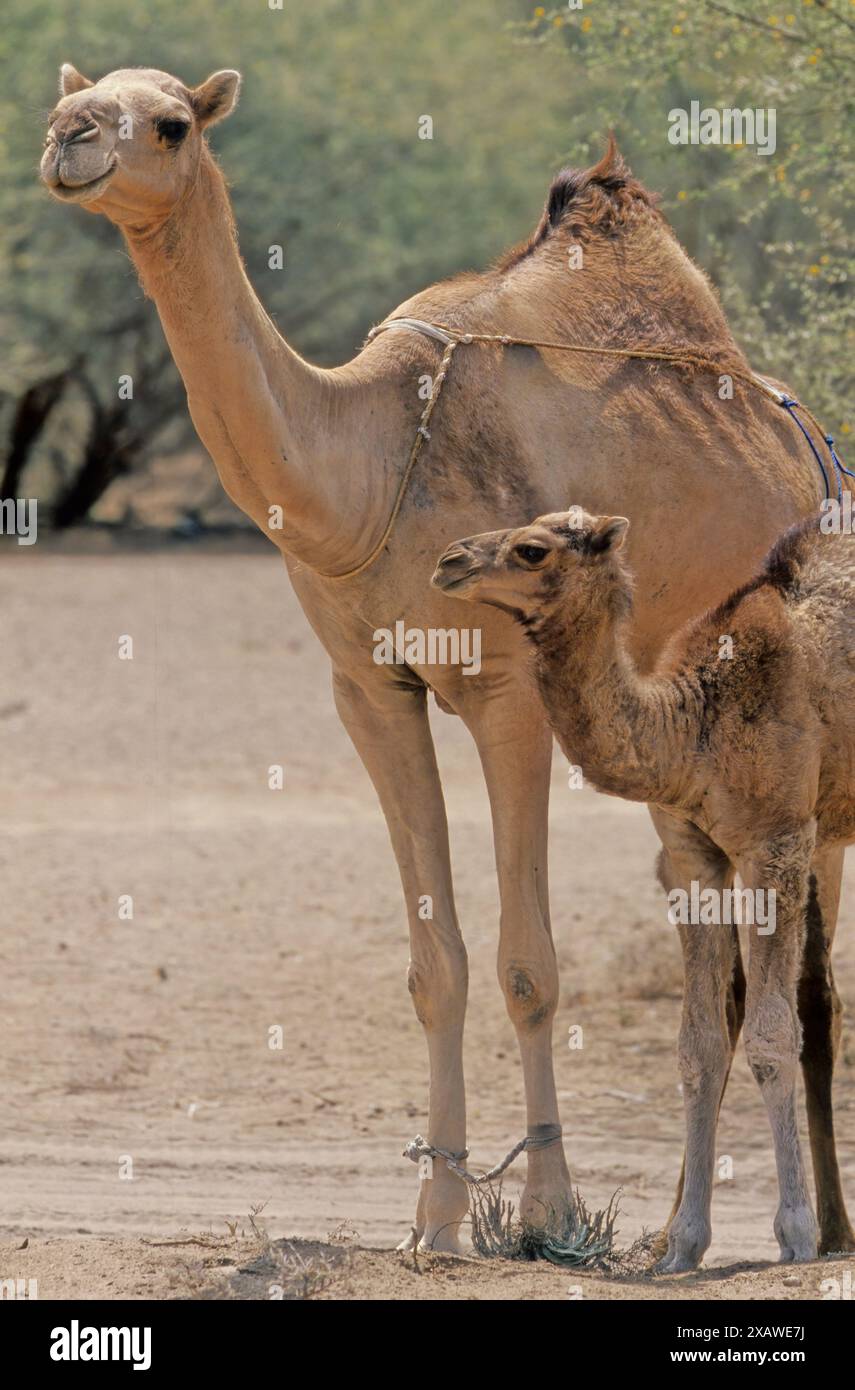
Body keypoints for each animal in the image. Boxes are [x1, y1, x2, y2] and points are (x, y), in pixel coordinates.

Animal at [433, 507, 855, 1267]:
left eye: (532, 549)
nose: (449, 560)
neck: (694, 723)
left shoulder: (778, 842)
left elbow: (773, 1033)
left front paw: (796, 1234)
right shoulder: (691, 855)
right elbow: (700, 1041)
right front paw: (682, 1243)